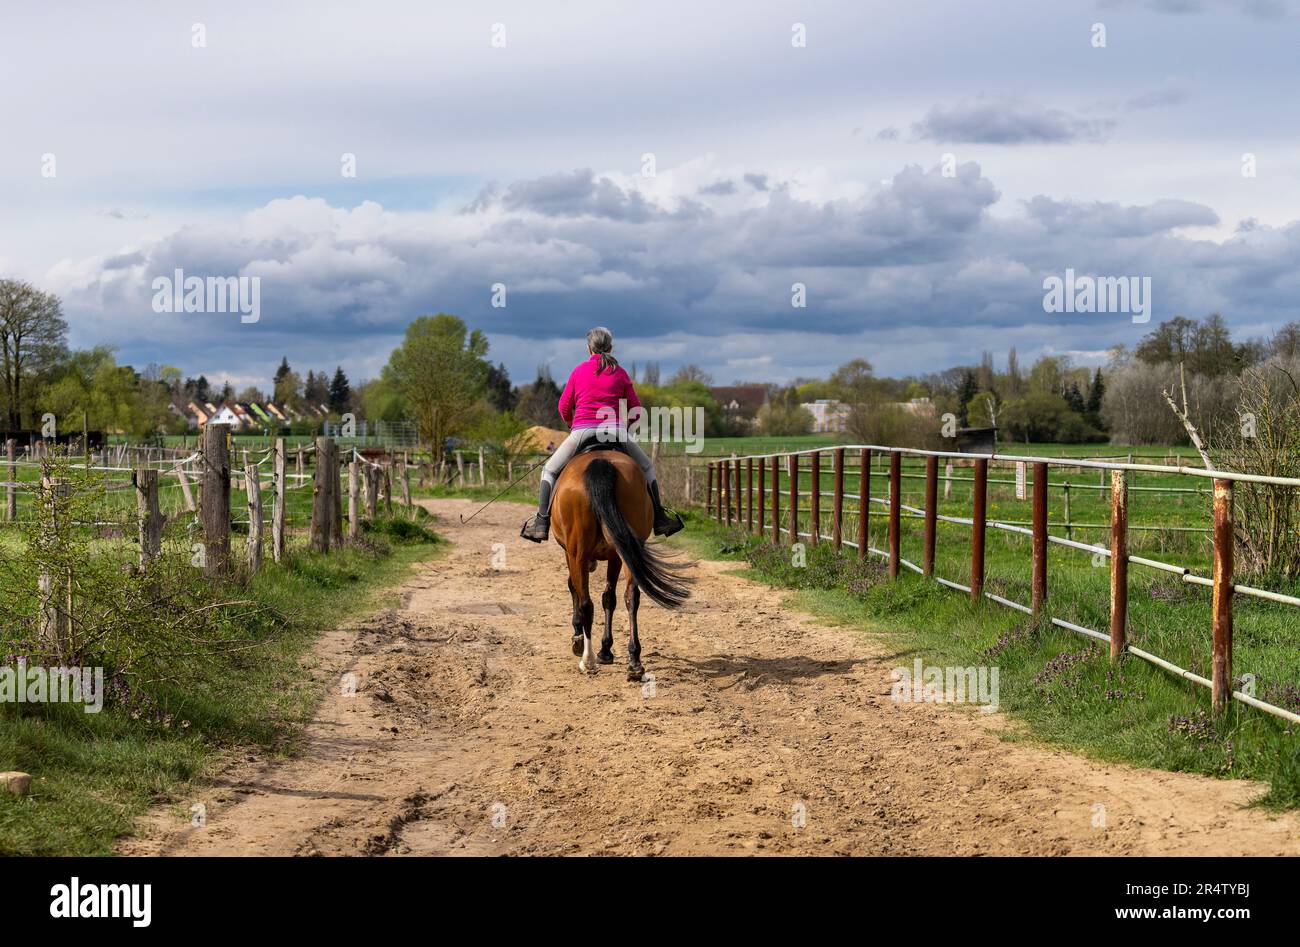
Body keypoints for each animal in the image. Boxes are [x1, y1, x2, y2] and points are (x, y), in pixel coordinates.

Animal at [550, 447, 691, 680]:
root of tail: (600, 462)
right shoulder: (614, 556)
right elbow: (609, 598)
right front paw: (606, 650)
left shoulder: (570, 554)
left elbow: (574, 589)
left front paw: (578, 638)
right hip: (626, 548)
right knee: (631, 596)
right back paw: (634, 662)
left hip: (578, 553)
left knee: (586, 602)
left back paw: (588, 660)